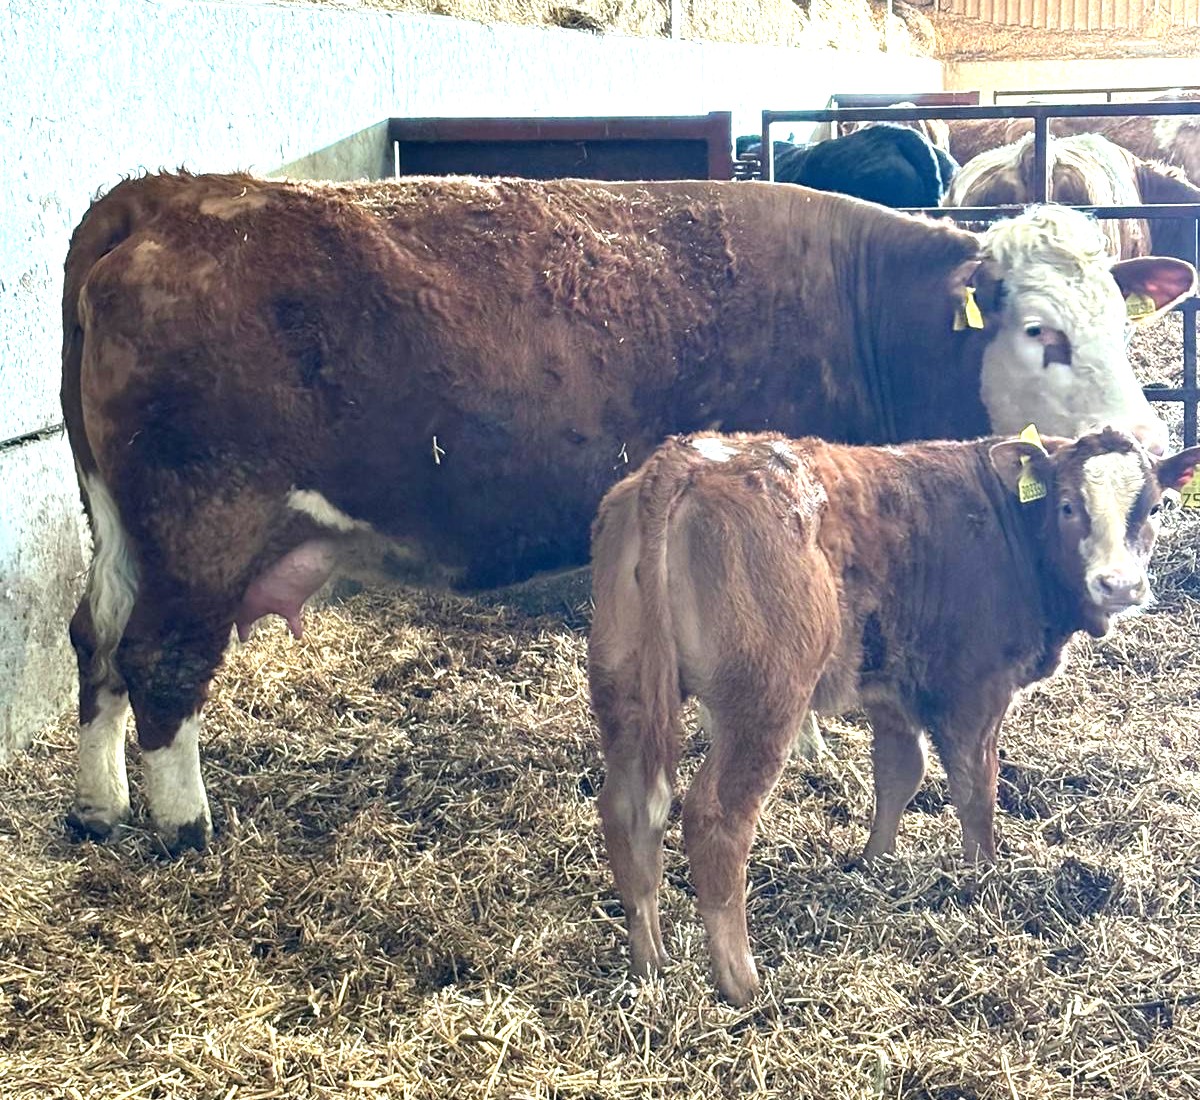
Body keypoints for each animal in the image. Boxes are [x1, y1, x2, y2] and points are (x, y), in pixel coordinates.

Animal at [62, 171, 1192, 853]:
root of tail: (169, 196)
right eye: (1043, 333)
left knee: (97, 641)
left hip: (121, 530)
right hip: (202, 518)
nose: (1144, 440)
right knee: (161, 657)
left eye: (1121, 323)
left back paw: (99, 803)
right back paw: (184, 824)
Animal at [588, 427, 1200, 1006]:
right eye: (1069, 505)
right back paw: (741, 982)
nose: (1119, 585)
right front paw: (982, 878)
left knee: (631, 808)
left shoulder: (891, 689)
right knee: (716, 819)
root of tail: (687, 459)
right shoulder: (975, 690)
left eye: (1155, 508)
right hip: (762, 703)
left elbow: (899, 773)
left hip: (625, 687)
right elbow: (975, 788)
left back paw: (649, 963)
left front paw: (874, 861)